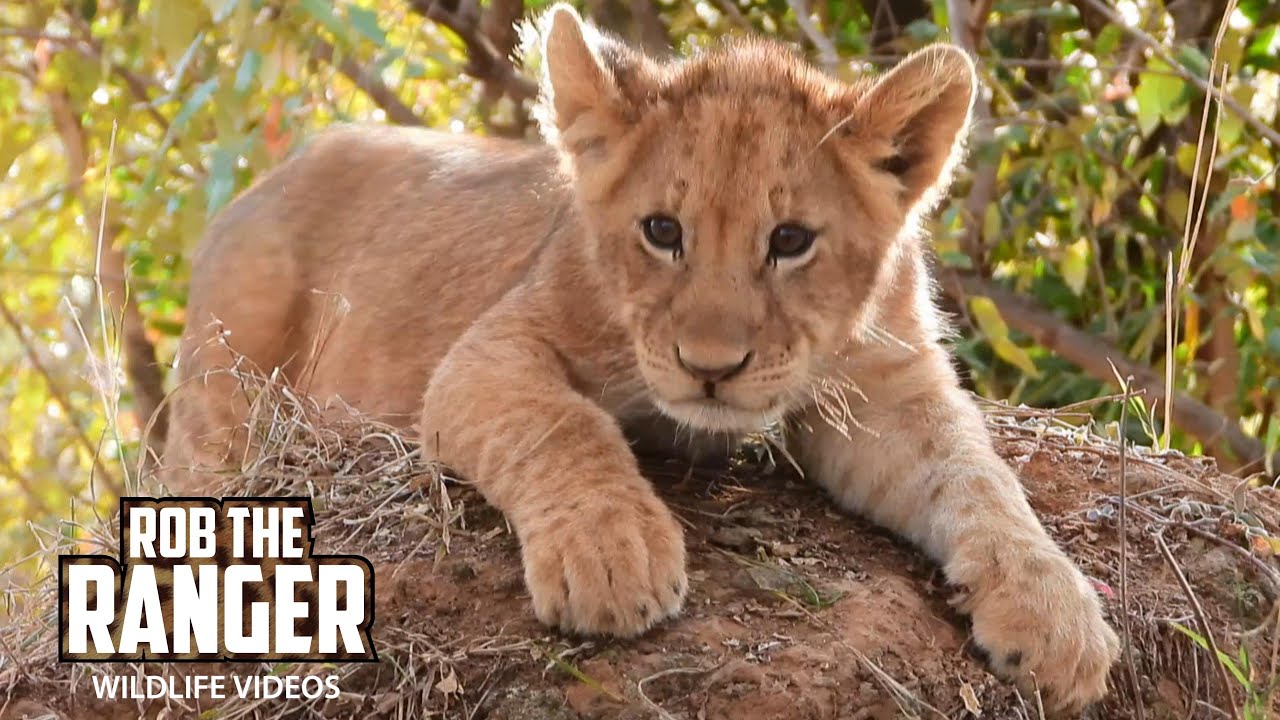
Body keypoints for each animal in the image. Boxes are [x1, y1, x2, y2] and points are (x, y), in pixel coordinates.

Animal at [165, 5, 1120, 711]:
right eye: (663, 231)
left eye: (791, 240)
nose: (711, 366)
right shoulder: (488, 354)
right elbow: (562, 424)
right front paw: (611, 551)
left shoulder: (891, 392)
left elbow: (980, 479)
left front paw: (1056, 615)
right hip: (221, 398)